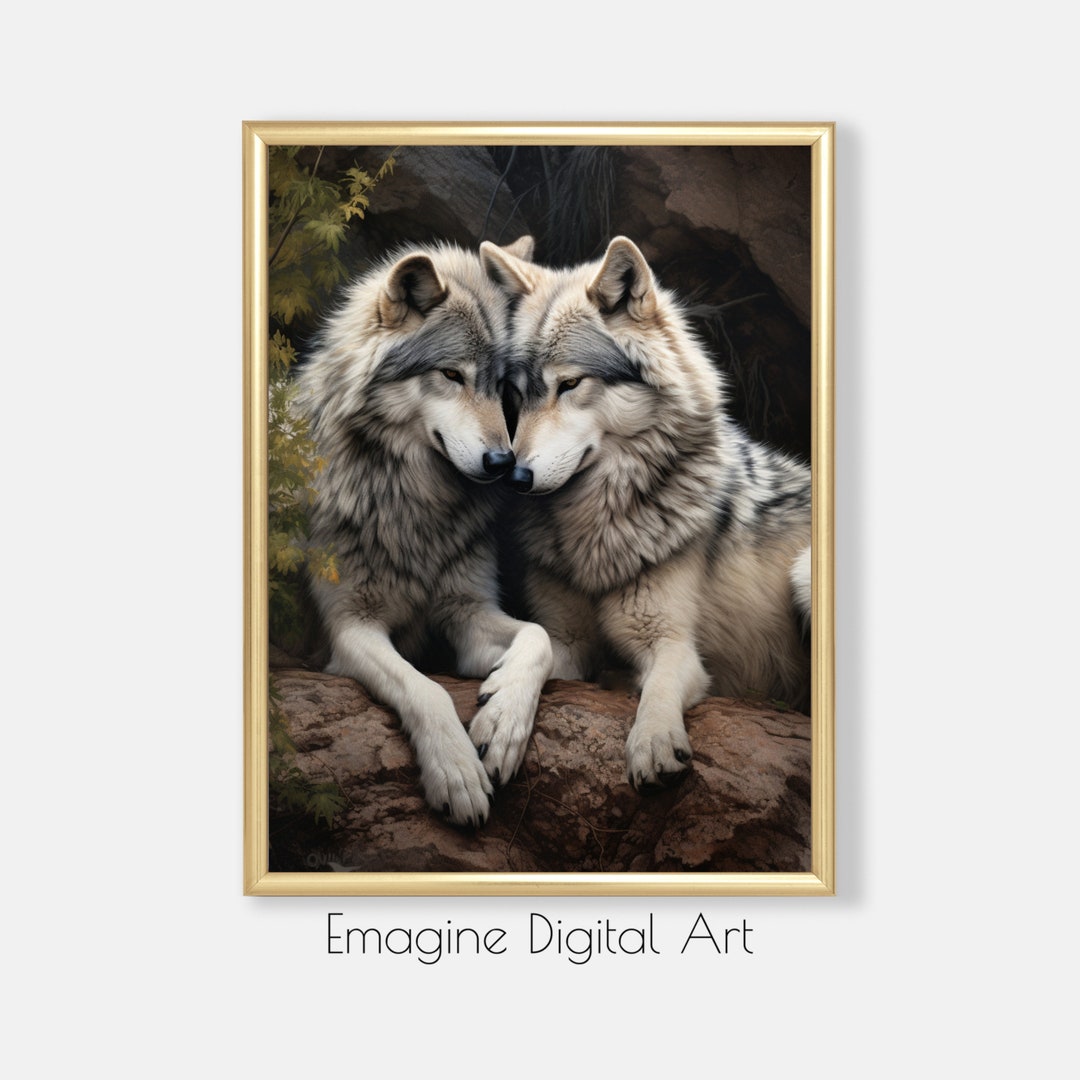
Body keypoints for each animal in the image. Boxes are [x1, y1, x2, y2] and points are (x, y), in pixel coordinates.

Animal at [298, 239, 552, 826]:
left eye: (502, 386)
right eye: (452, 375)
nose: (502, 462)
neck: (416, 506)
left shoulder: (466, 612)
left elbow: (540, 637)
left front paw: (504, 724)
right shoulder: (349, 627)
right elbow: (425, 687)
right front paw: (456, 773)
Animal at [480, 235, 812, 790]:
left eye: (569, 385)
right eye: (516, 394)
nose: (517, 477)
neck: (594, 536)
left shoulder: (674, 644)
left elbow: (658, 690)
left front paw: (654, 743)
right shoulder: (567, 638)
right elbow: (537, 641)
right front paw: (501, 717)